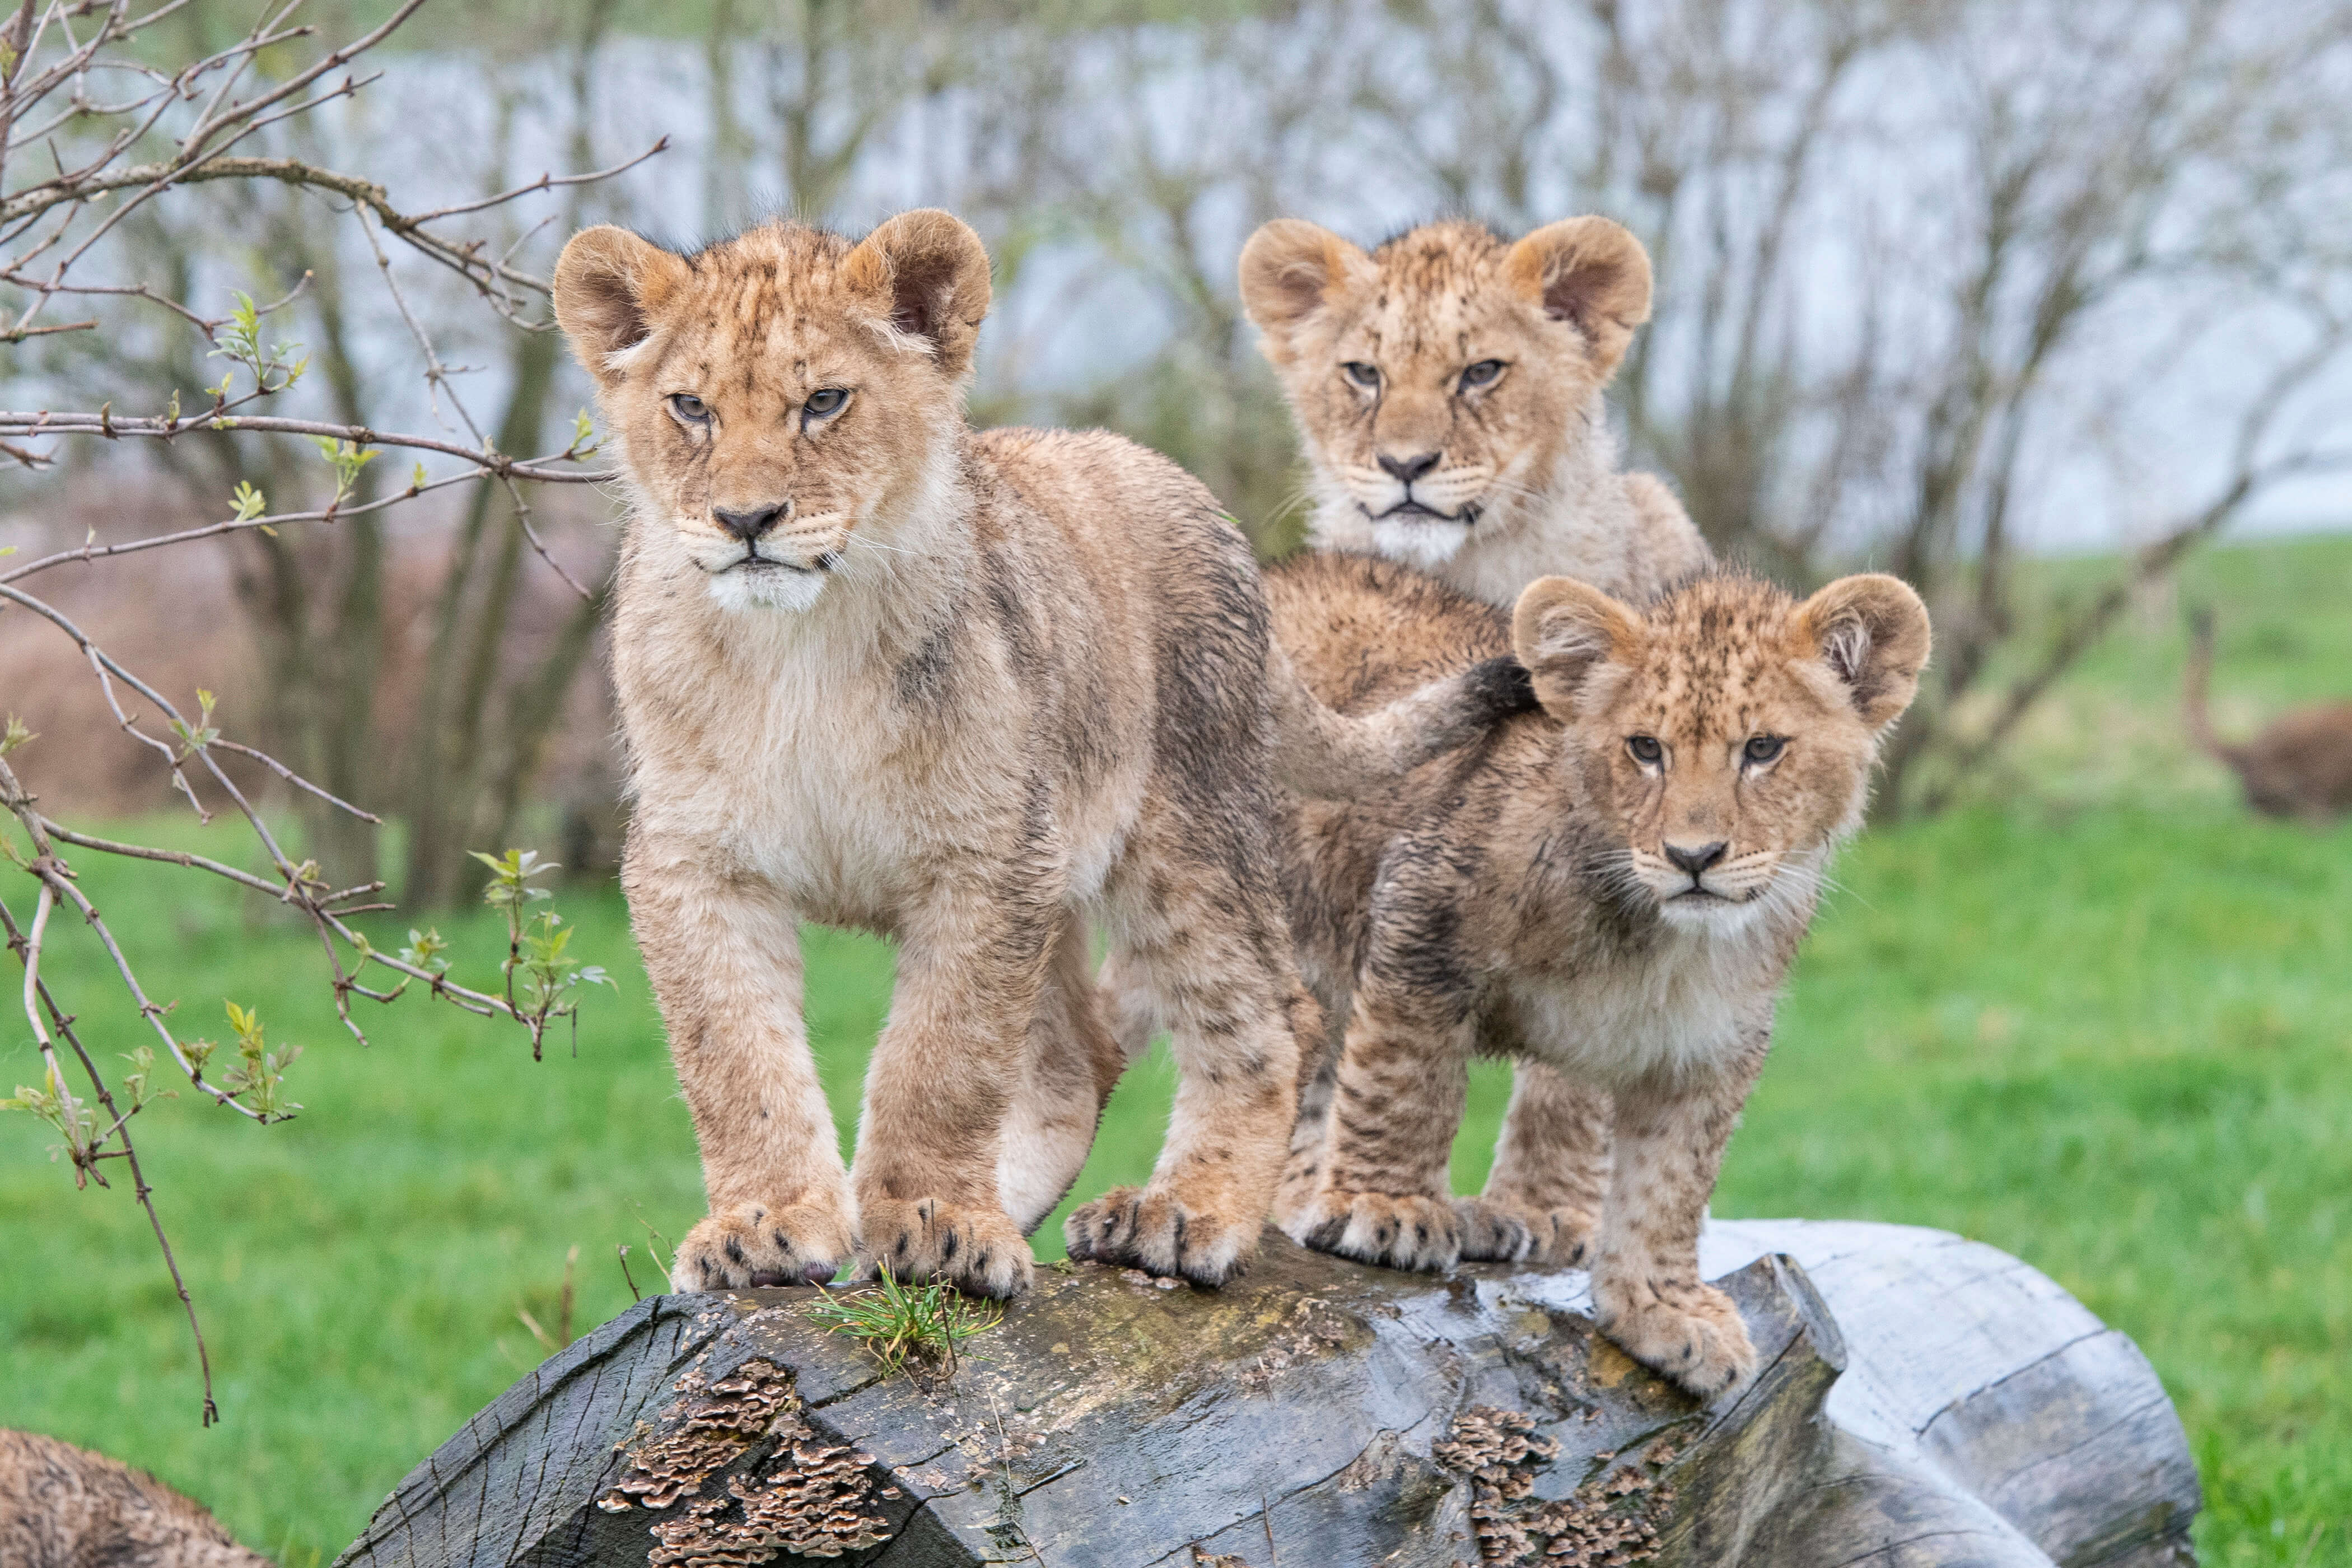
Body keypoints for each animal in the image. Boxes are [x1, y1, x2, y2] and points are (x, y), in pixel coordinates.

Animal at [552, 211, 1527, 1299]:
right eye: (690, 407)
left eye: (824, 402)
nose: (746, 523)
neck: (801, 646)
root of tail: (1194, 497)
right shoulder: (696, 860)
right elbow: (734, 1056)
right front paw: (768, 1227)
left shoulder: (987, 856)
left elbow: (943, 1058)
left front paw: (934, 1221)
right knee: (1078, 1056)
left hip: (1180, 834)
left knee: (1272, 1018)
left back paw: (1181, 1214)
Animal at [1267, 552, 1928, 1397]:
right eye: (1645, 748)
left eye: (1763, 749)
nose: (1693, 857)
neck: (1659, 937)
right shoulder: (1422, 912)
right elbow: (1405, 1079)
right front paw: (1386, 1207)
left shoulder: (1712, 1043)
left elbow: (1669, 1182)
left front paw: (1662, 1309)